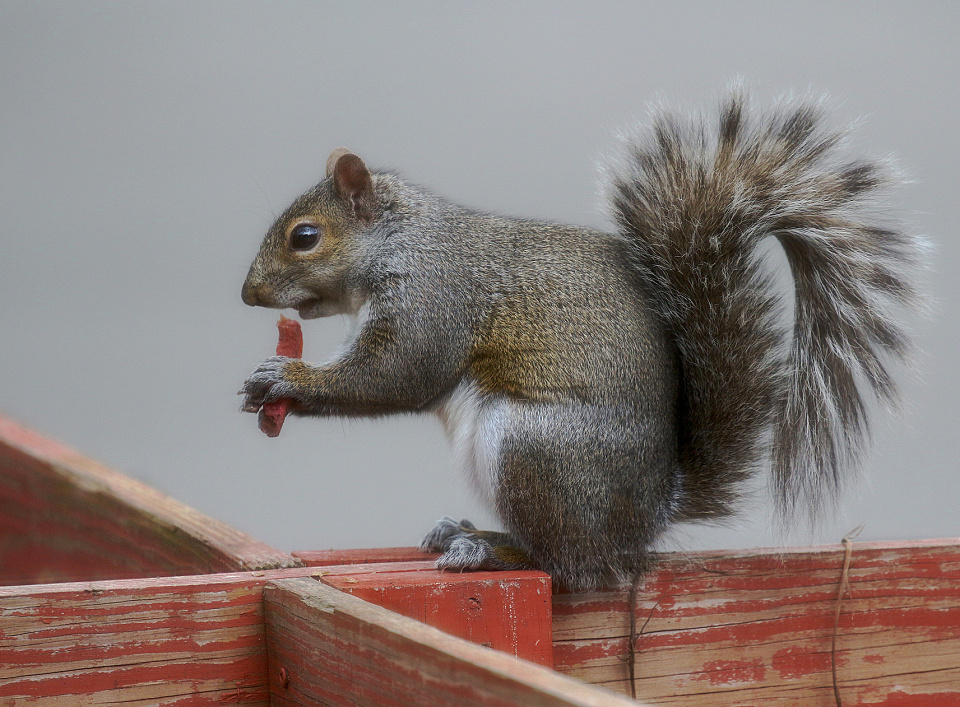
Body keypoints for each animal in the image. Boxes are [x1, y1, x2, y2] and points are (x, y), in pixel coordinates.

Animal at [240, 94, 926, 592]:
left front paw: (284, 381)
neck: (402, 240)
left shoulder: (434, 297)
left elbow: (396, 374)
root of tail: (643, 523)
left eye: (305, 237)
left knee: (571, 566)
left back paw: (491, 550)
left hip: (533, 450)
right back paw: (467, 529)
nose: (248, 294)